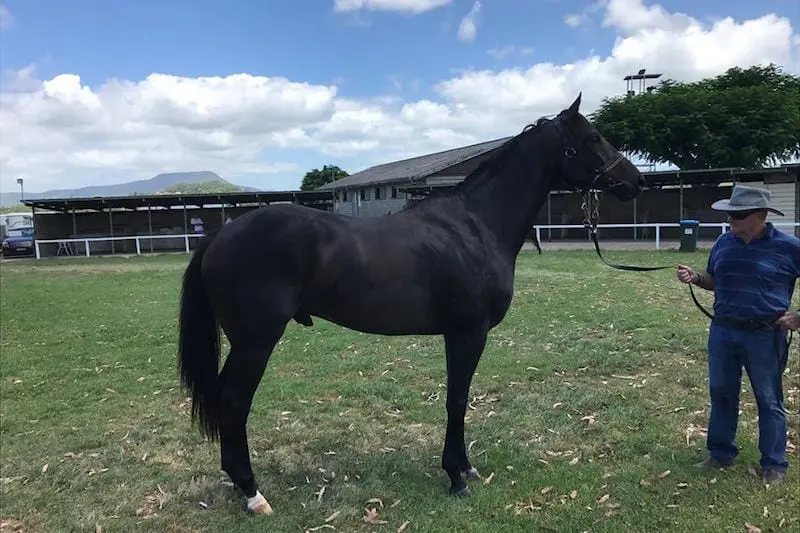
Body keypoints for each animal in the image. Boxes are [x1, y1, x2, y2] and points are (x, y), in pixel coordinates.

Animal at [176, 93, 646, 515]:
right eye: (594, 137)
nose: (636, 181)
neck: (474, 226)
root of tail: (222, 234)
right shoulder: (467, 333)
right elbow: (457, 399)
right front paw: (456, 476)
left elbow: (459, 398)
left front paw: (465, 468)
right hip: (256, 342)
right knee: (234, 401)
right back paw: (253, 494)